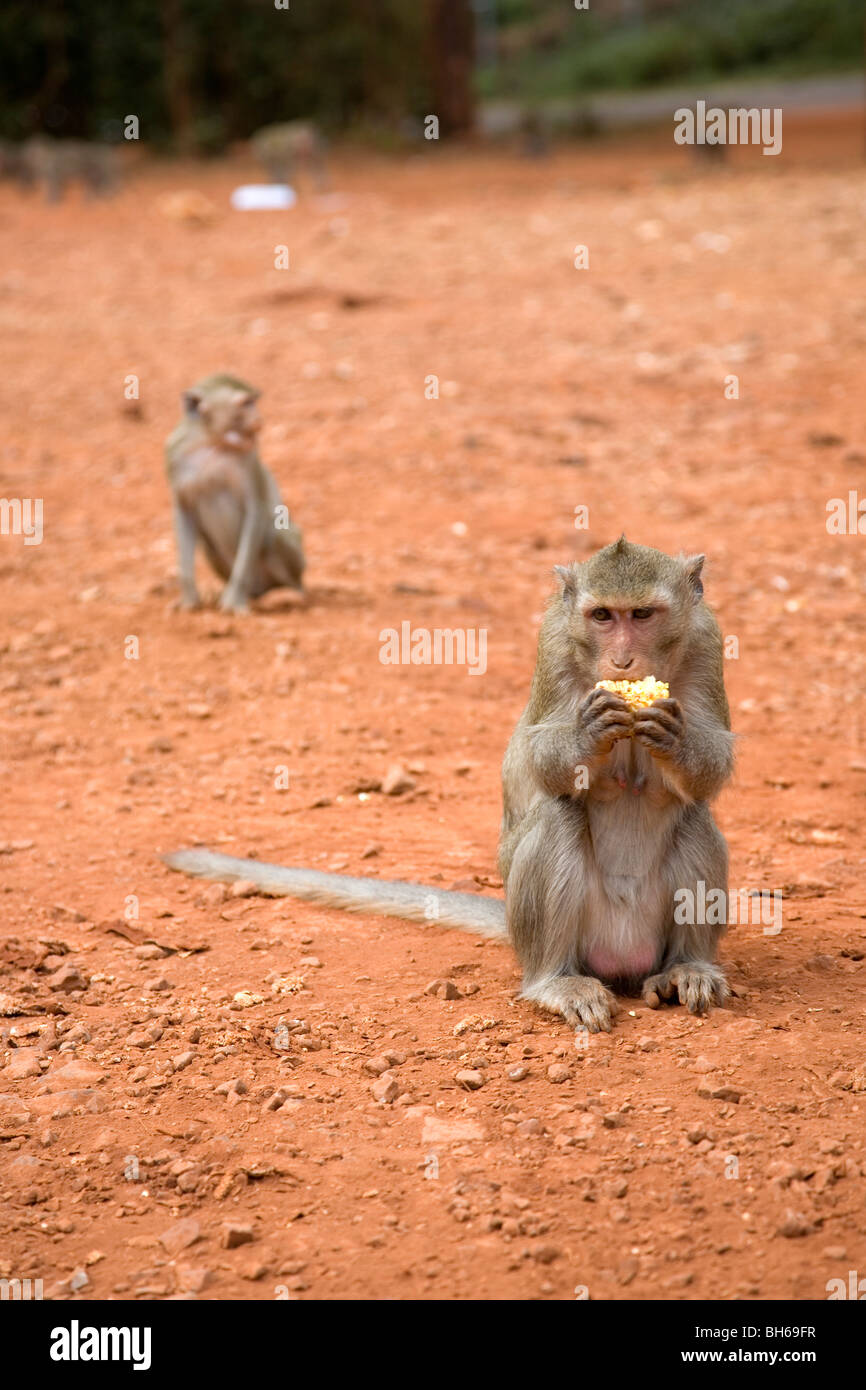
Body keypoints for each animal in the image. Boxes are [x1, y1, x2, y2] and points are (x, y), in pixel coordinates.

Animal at [163, 539, 734, 1031]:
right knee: (559, 815)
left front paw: (676, 738)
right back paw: (555, 982)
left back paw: (686, 967)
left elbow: (716, 762)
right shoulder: (553, 640)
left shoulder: (707, 638)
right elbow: (544, 761)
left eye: (642, 615)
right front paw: (585, 733)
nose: (621, 661)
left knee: (693, 816)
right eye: (602, 616)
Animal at [165, 374, 305, 614]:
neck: (211, 444)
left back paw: (286, 594)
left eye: (253, 401)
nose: (259, 419)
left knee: (274, 534)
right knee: (209, 548)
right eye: (246, 404)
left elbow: (256, 510)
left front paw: (234, 601)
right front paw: (189, 599)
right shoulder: (175, 458)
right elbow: (184, 512)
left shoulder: (249, 459)